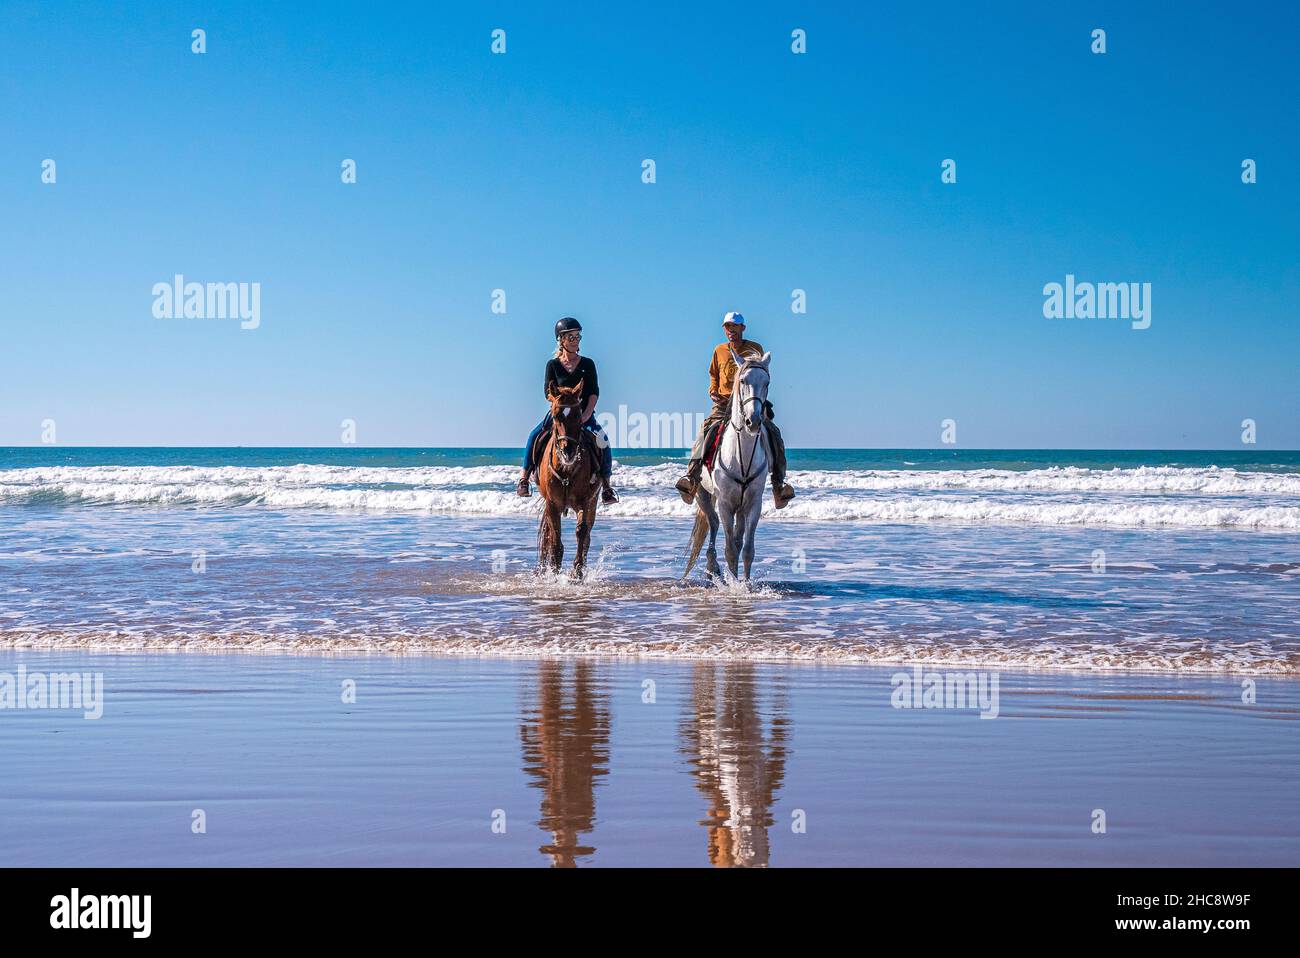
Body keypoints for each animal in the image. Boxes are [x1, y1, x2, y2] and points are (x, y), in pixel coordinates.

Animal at [535, 379, 602, 578]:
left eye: (579, 416)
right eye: (556, 416)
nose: (568, 452)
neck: (566, 470)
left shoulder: (585, 502)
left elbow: (581, 532)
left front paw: (577, 572)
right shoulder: (552, 504)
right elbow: (555, 539)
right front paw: (555, 572)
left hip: (594, 502)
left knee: (587, 536)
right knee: (549, 535)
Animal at [683, 351, 772, 582]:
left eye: (766, 382)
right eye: (743, 381)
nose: (753, 421)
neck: (741, 458)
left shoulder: (753, 504)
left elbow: (747, 549)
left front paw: (745, 584)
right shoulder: (724, 504)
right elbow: (730, 549)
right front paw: (733, 583)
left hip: (740, 507)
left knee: (738, 539)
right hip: (703, 495)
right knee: (713, 524)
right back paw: (712, 567)